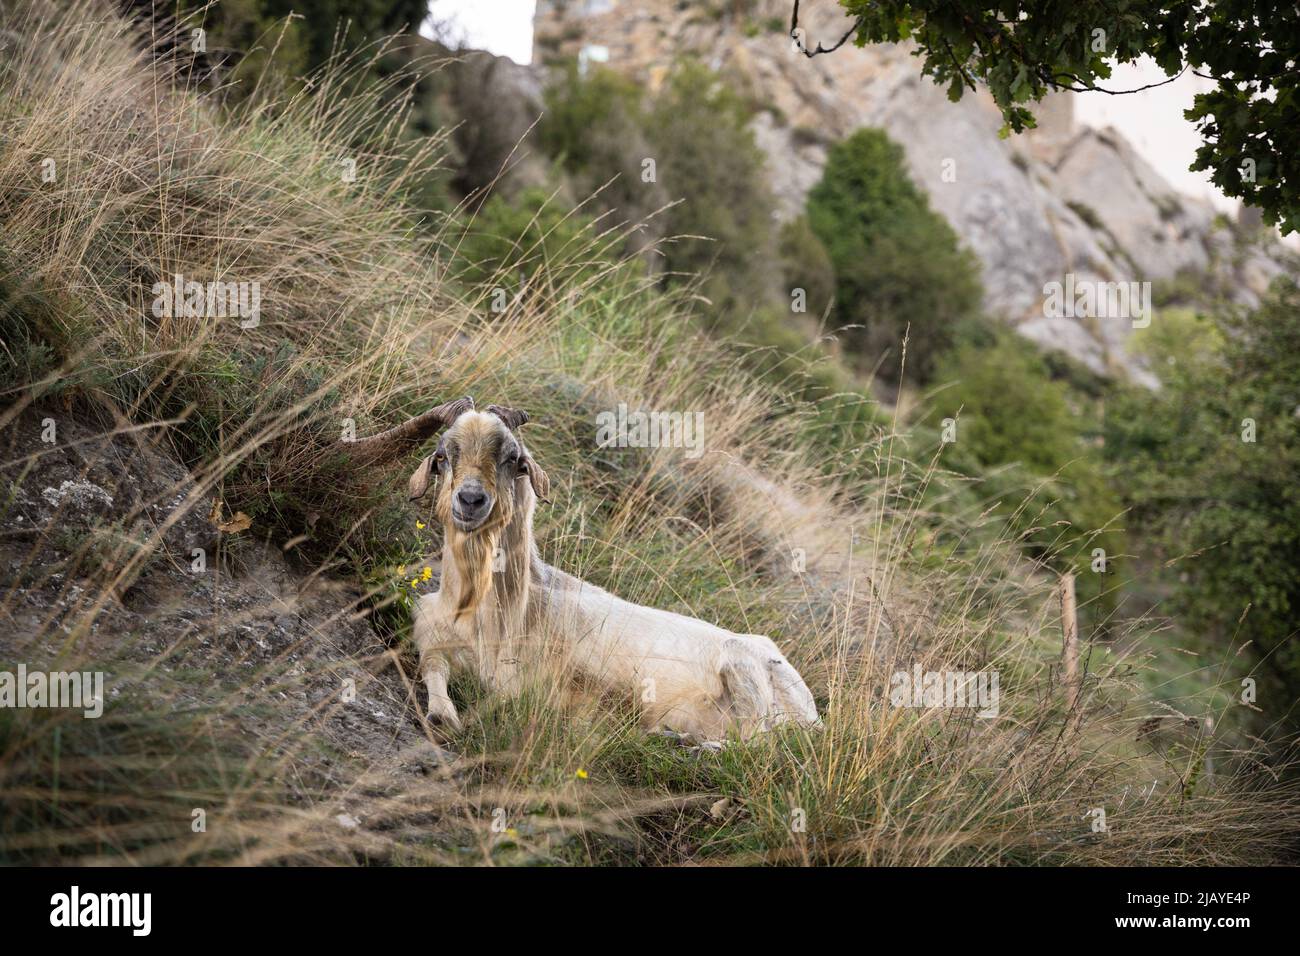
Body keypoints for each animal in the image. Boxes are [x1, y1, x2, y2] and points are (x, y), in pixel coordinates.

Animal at [342, 397, 820, 741]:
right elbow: (434, 670)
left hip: (744, 671)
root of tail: (812, 712)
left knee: (758, 741)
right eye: (443, 455)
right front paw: (443, 715)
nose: (471, 500)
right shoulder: (431, 635)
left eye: (513, 460)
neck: (488, 617)